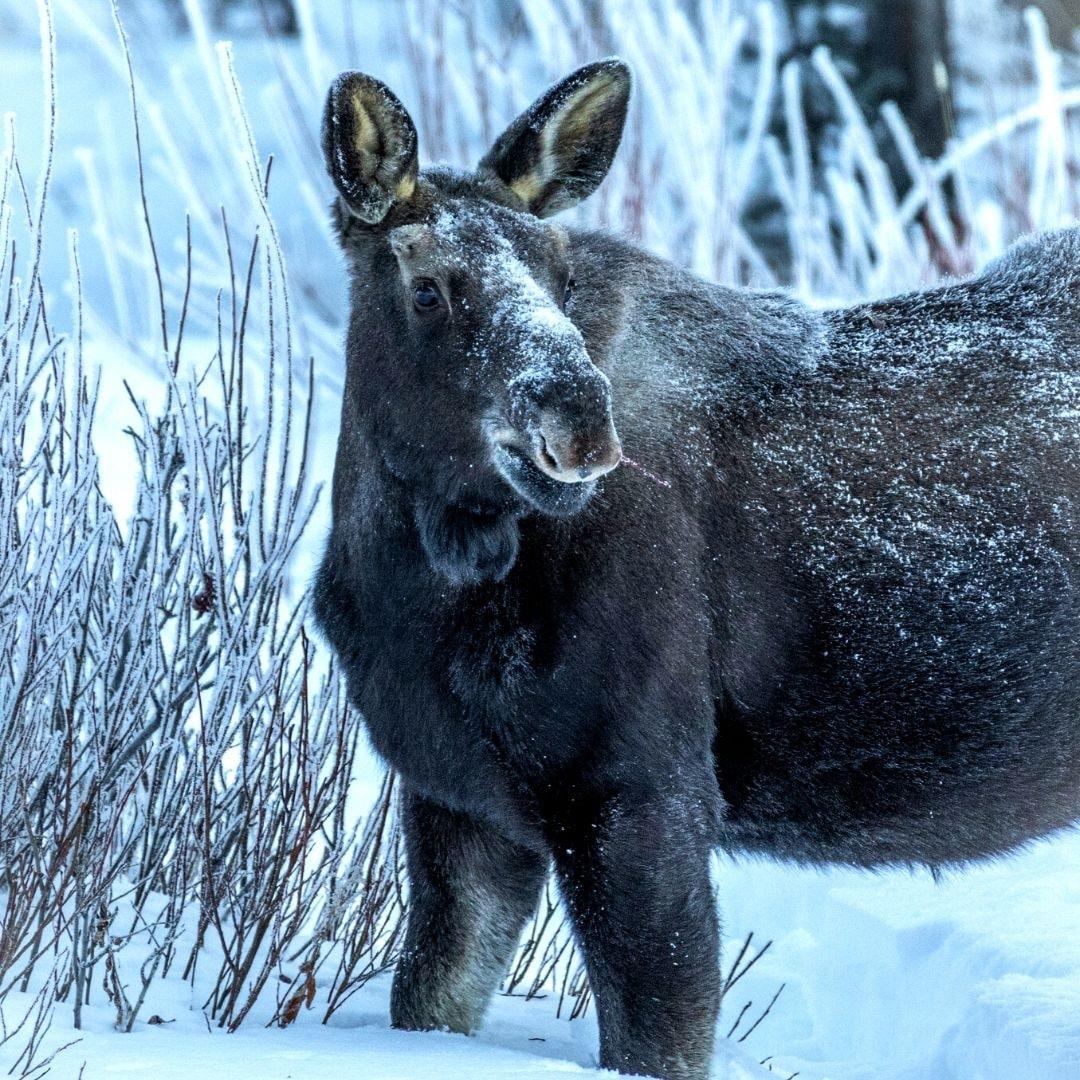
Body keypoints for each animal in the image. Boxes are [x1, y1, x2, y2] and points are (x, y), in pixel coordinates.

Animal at [313, 56, 1080, 1080]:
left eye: (563, 273)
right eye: (428, 287)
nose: (580, 421)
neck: (415, 594)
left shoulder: (642, 790)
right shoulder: (455, 795)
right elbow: (428, 999)